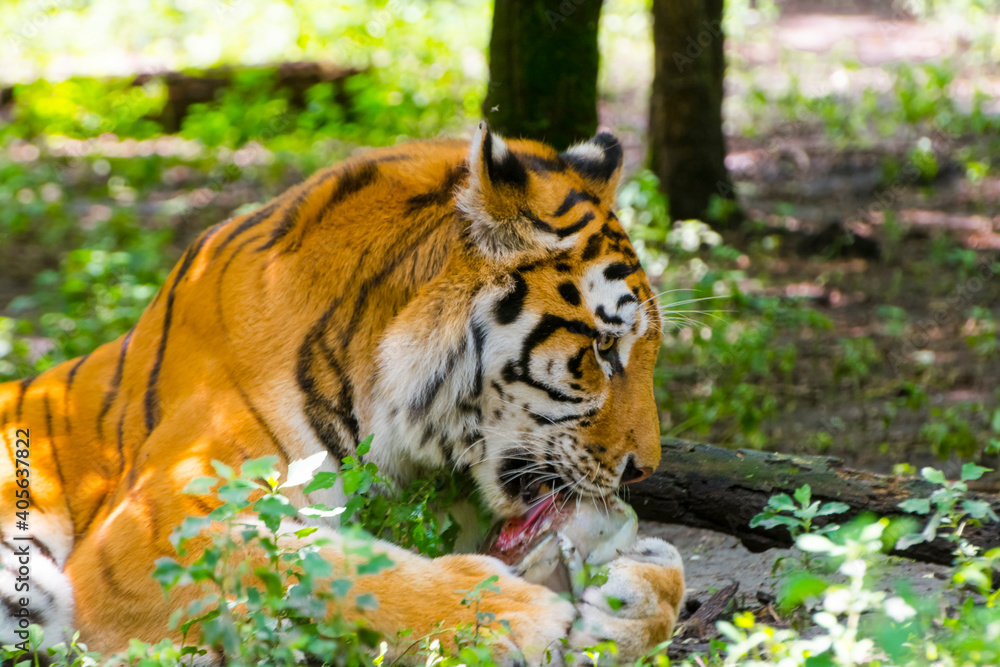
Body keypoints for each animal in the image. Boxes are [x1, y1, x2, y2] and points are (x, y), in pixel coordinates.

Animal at [0, 123, 684, 664]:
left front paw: (630, 599)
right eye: (603, 348)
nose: (645, 470)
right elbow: (319, 566)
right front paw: (511, 617)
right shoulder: (148, 532)